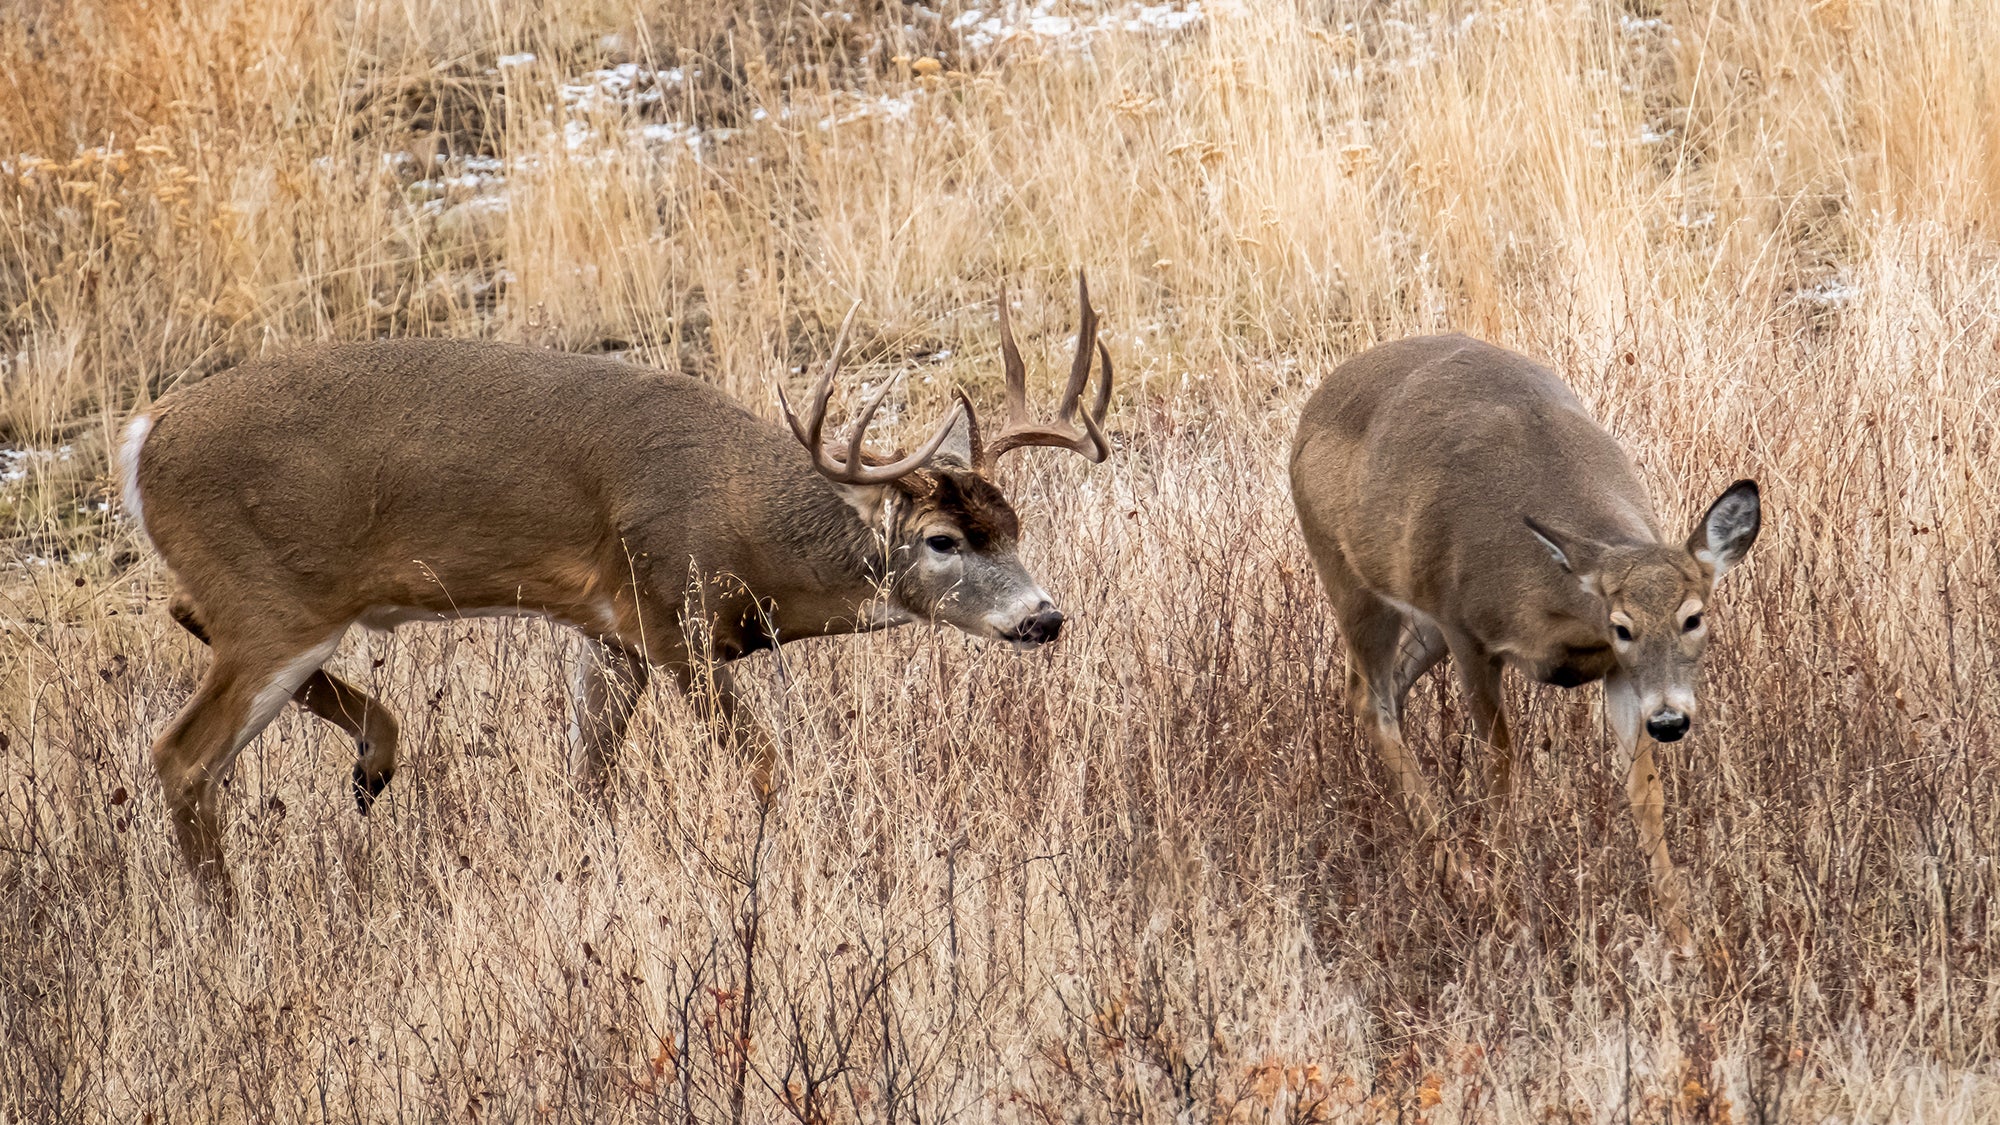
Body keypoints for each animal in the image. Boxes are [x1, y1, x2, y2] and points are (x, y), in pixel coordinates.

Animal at [121, 276, 1113, 898]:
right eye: (942, 541)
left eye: (1015, 527)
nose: (1044, 617)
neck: (748, 527)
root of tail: (144, 436)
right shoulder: (674, 616)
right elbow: (763, 764)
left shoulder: (609, 635)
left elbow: (586, 782)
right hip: (273, 603)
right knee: (180, 755)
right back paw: (230, 921)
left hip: (273, 598)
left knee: (182, 617)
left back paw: (375, 758)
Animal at [1288, 333, 1760, 951]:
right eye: (1622, 625)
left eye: (1694, 617)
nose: (1670, 721)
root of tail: (1315, 403)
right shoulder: (1468, 631)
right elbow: (1501, 771)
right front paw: (1511, 913)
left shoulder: (1618, 671)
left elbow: (1646, 791)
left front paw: (1685, 940)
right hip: (1351, 577)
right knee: (1373, 699)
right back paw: (1465, 879)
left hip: (1421, 620)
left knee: (1373, 689)